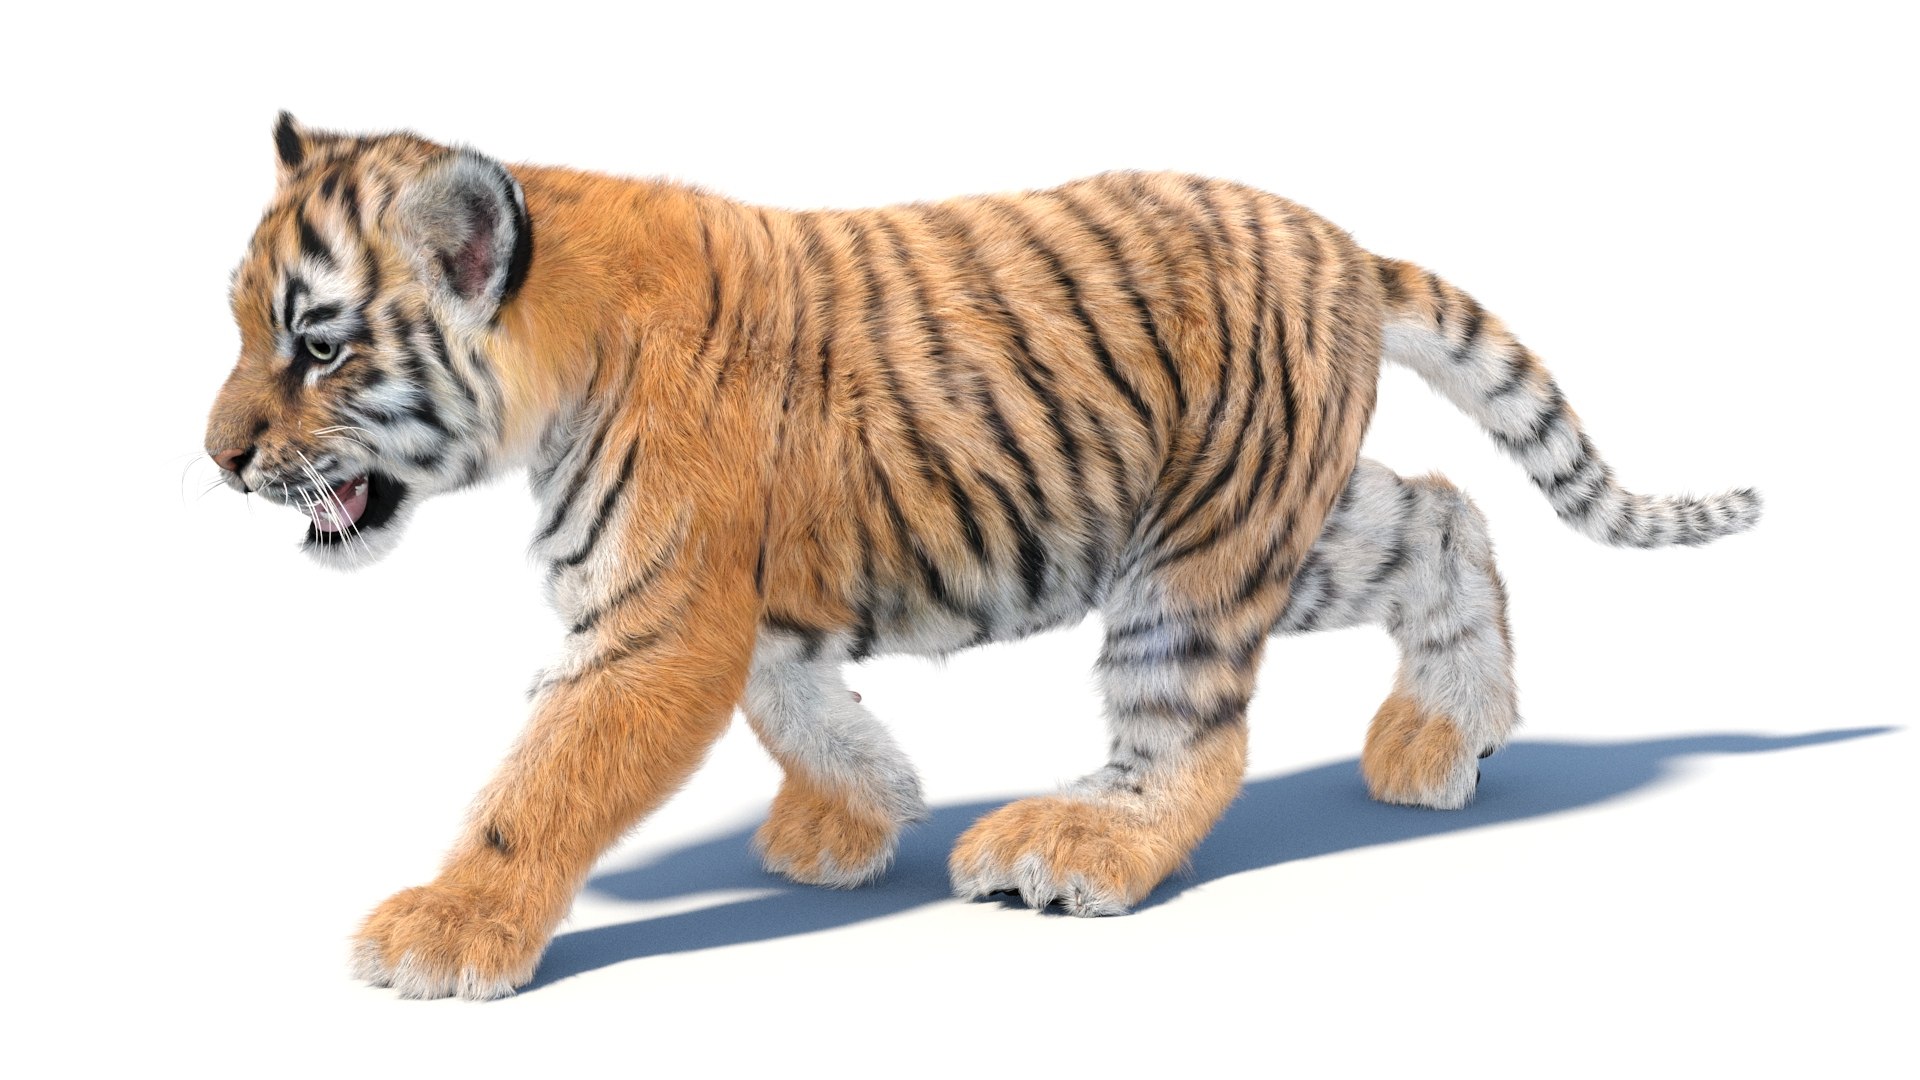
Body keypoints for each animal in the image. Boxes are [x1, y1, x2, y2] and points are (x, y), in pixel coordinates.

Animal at [204, 113, 1759, 1000]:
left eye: (318, 346)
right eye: (240, 325)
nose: (217, 457)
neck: (554, 355)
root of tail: (1342, 245)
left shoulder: (659, 619)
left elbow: (545, 779)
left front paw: (445, 927)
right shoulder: (740, 603)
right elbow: (793, 697)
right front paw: (859, 807)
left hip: (1194, 558)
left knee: (1193, 739)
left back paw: (1075, 846)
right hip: (1274, 518)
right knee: (1444, 513)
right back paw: (1448, 738)